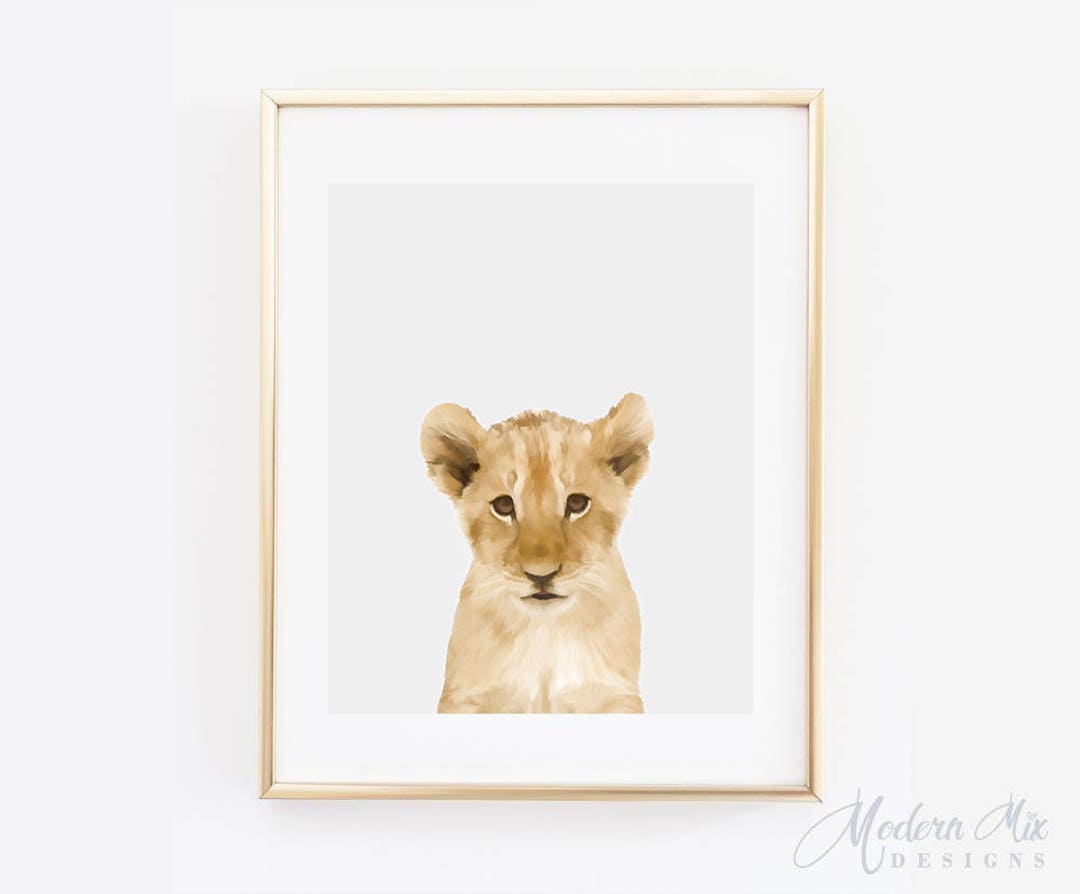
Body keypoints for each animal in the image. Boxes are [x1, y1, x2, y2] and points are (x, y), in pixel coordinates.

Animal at [420, 393, 653, 713]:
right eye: (504, 506)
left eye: (577, 503)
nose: (541, 575)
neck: (544, 635)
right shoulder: (465, 697)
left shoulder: (614, 696)